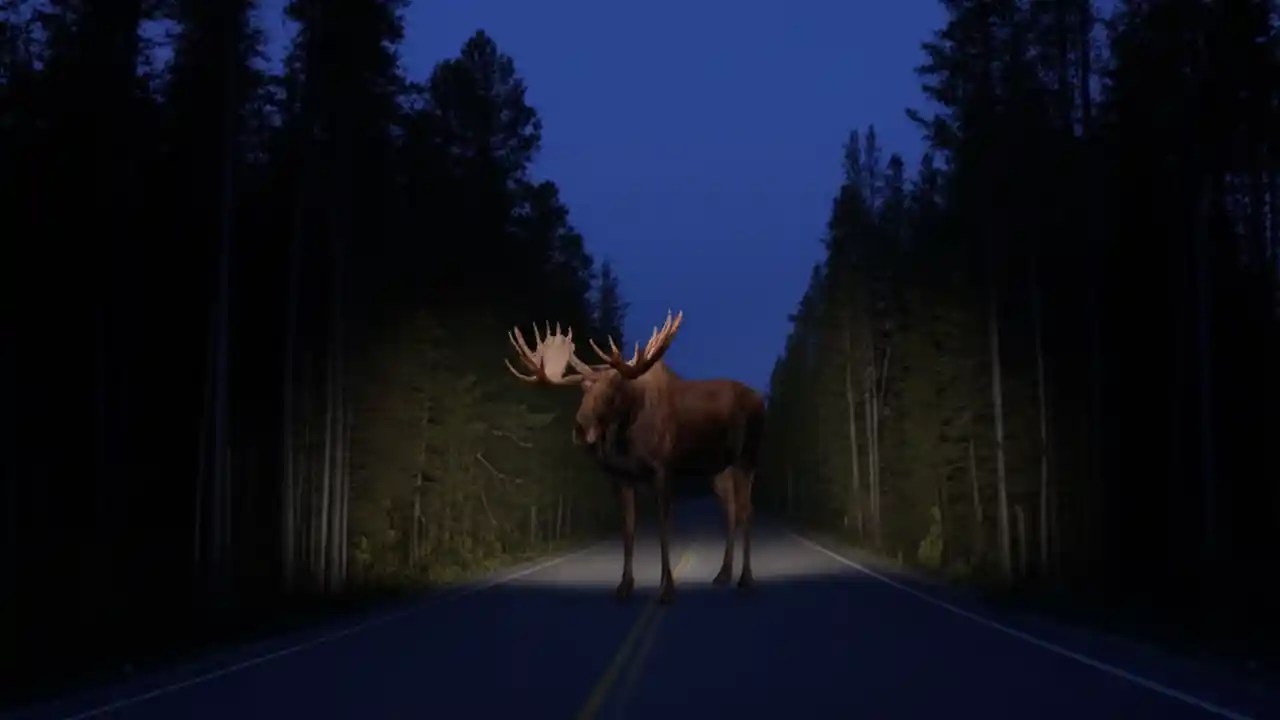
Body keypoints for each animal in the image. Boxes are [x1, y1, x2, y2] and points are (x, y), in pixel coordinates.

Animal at [503, 310, 764, 605]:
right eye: (583, 388)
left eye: (610, 392)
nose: (580, 428)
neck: (624, 436)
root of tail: (761, 401)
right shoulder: (622, 476)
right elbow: (628, 528)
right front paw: (625, 585)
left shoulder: (662, 470)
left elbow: (664, 525)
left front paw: (666, 589)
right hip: (719, 470)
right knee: (731, 510)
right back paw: (723, 574)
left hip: (747, 458)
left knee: (747, 509)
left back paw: (746, 578)